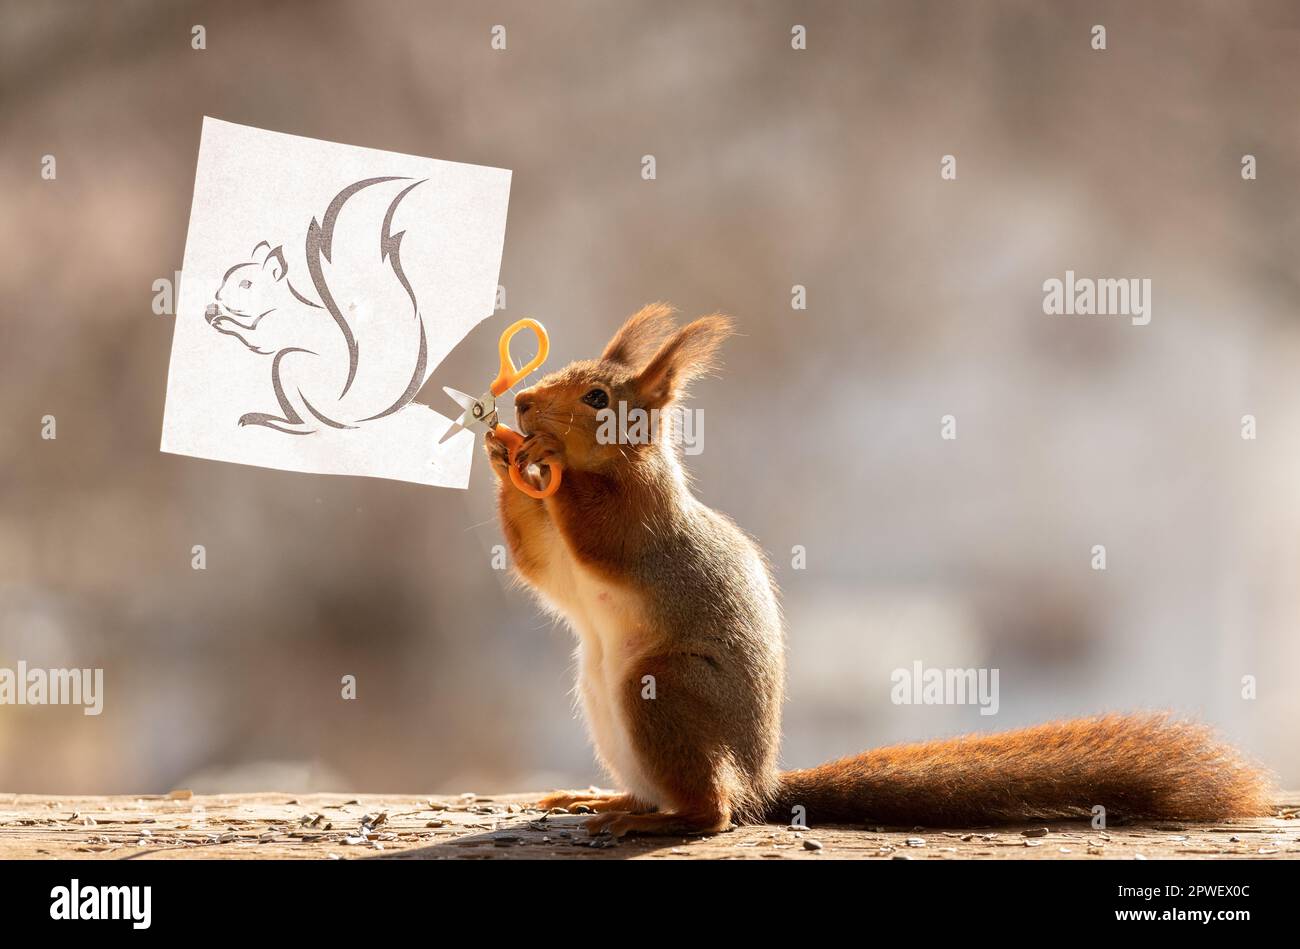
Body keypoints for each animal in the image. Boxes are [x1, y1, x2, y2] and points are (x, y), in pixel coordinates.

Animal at [204, 176, 429, 434]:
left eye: (246, 284)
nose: (218, 296)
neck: (276, 303)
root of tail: (346, 417)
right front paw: (213, 312)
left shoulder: (278, 325)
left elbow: (258, 339)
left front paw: (224, 322)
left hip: (291, 363)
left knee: (311, 425)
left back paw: (274, 421)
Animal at [487, 302, 1273, 837]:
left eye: (597, 398)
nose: (520, 402)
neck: (626, 471)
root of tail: (762, 782)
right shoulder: (559, 565)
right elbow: (540, 562)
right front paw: (501, 453)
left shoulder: (644, 527)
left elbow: (600, 536)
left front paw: (545, 459)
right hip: (605, 702)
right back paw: (605, 798)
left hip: (666, 689)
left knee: (711, 812)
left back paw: (656, 818)